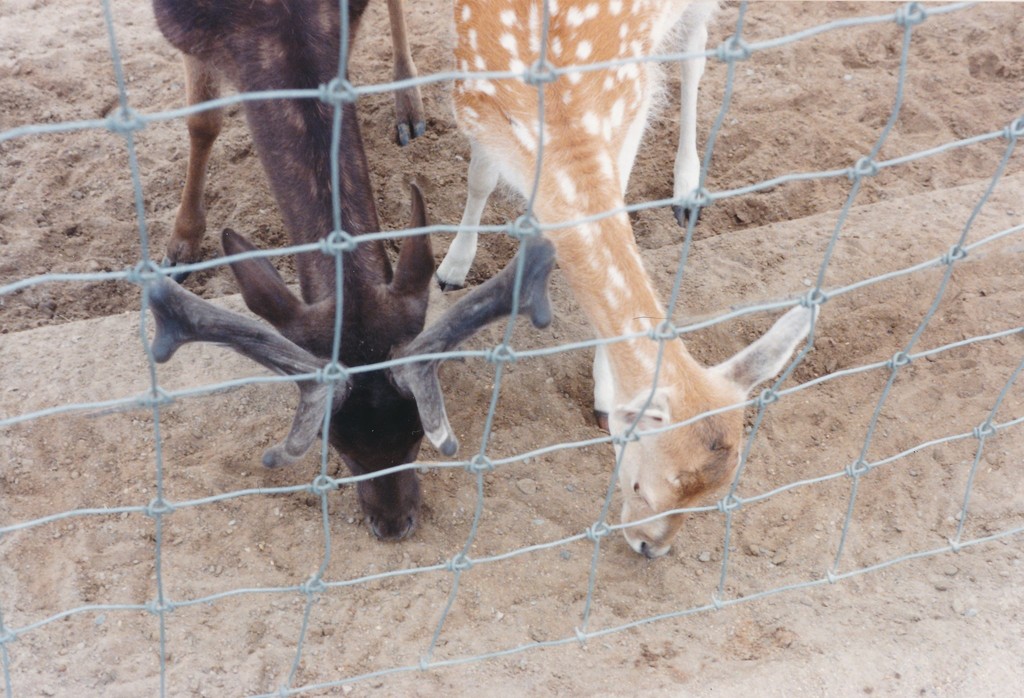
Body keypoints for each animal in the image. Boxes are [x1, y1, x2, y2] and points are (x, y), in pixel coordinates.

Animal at [148, 0, 557, 540]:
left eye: (417, 429)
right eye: (332, 438)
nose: (395, 524)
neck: (270, 20)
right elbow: (203, 123)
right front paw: (182, 241)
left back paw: (409, 103)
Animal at [443, 0, 816, 558]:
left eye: (715, 492)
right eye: (644, 488)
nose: (649, 548)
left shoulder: (627, 105)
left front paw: (603, 390)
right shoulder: (474, 95)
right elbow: (480, 180)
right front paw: (453, 266)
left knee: (694, 57)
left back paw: (688, 190)